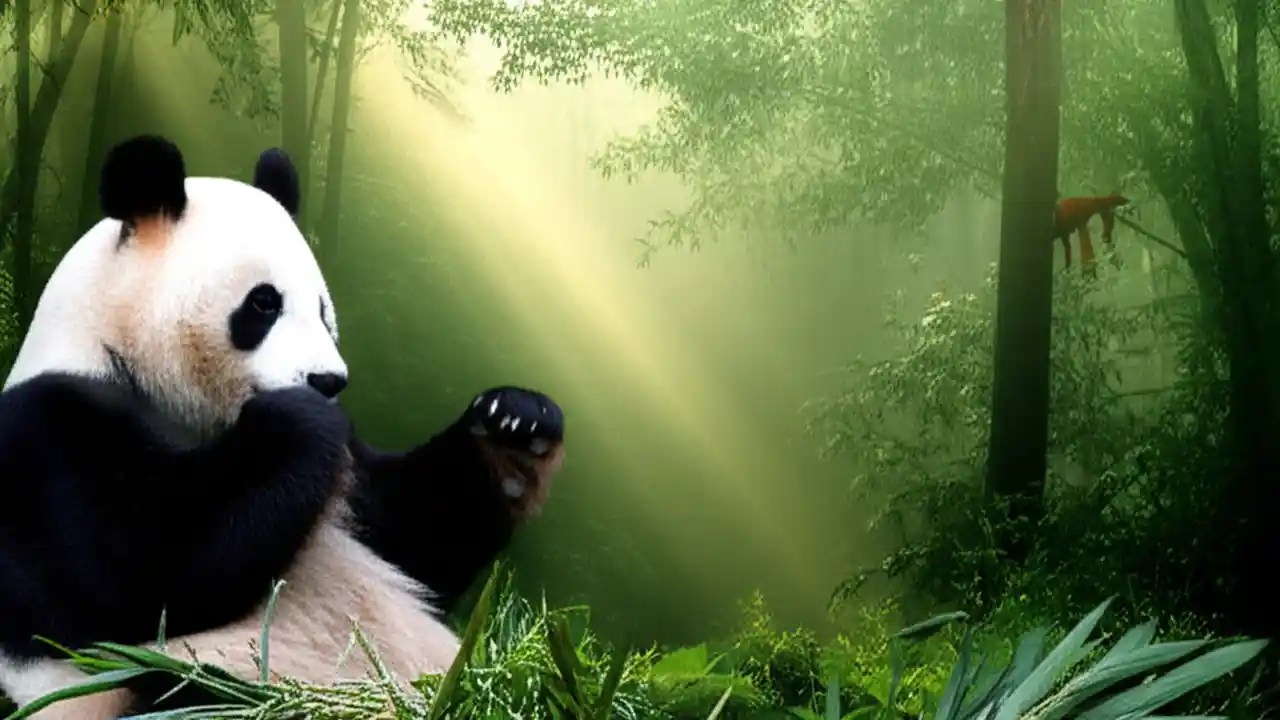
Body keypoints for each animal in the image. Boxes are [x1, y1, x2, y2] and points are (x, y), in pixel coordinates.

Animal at [0, 135, 566, 719]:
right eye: (264, 302)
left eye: (322, 310)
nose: (328, 380)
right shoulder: (49, 435)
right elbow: (127, 577)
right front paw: (300, 420)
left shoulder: (349, 484)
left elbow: (415, 536)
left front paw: (515, 423)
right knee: (192, 692)